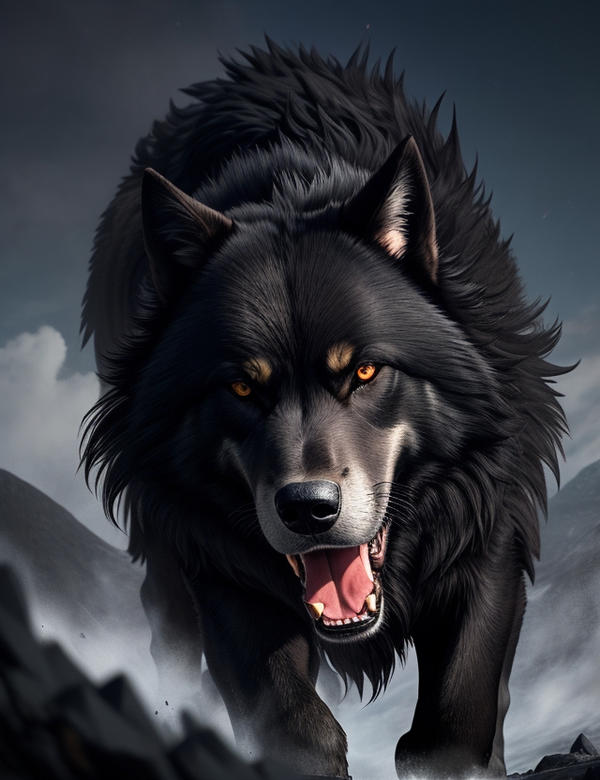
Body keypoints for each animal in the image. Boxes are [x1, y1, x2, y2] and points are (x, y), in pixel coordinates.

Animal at [81, 41, 569, 778]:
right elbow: (293, 728)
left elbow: (452, 727)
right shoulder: (216, 562)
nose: (308, 510)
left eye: (363, 371)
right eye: (243, 388)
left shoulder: (487, 527)